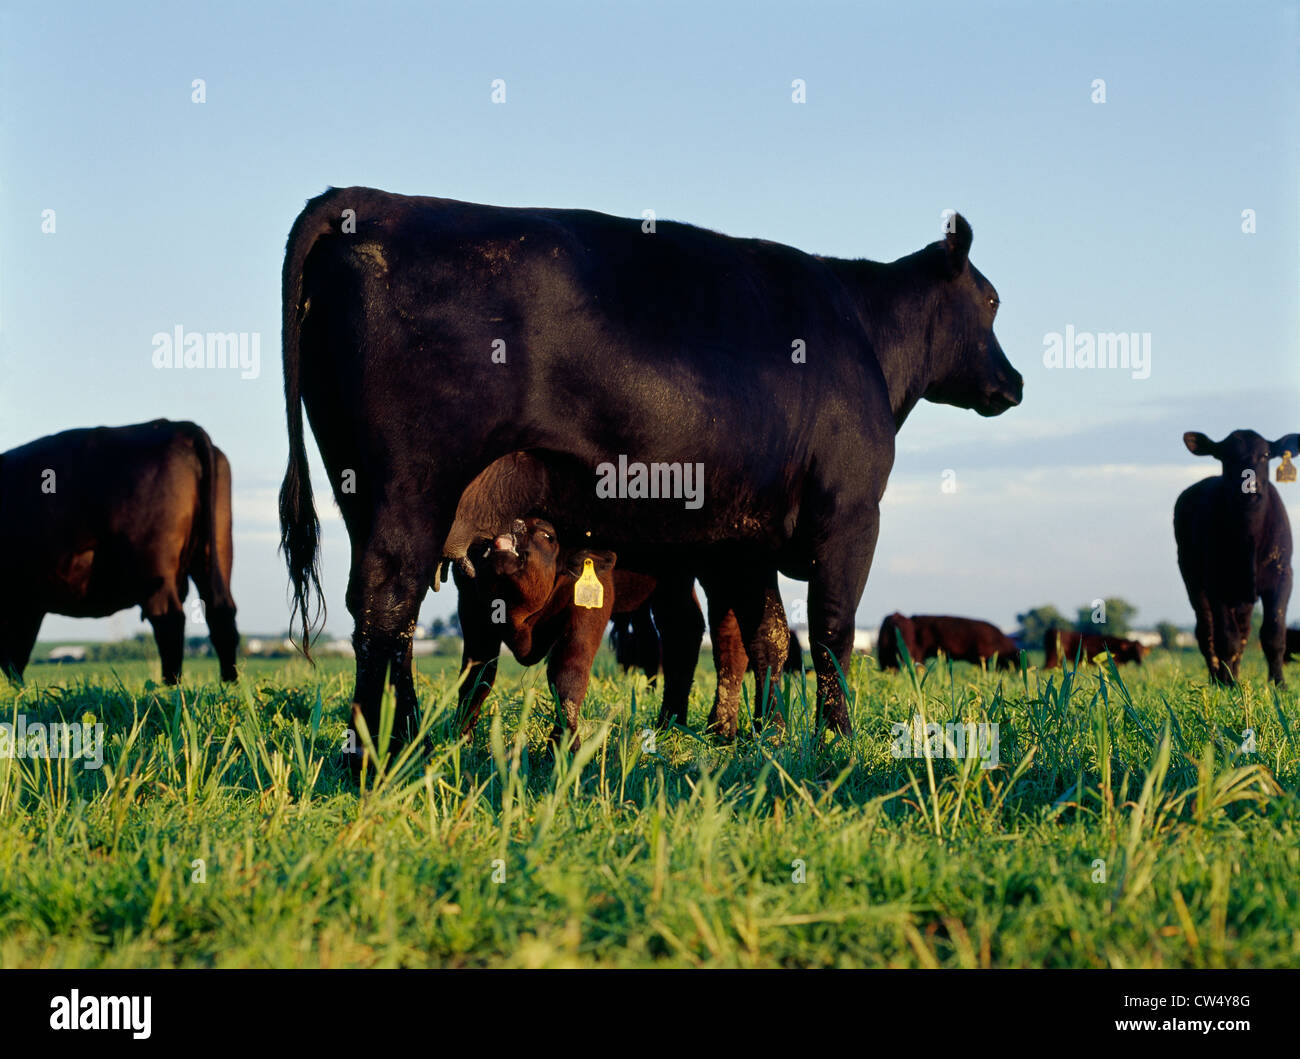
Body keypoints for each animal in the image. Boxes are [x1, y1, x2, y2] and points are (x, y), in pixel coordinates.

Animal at [0, 420, 239, 684]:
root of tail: (177, 427)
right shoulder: (27, 605)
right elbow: (16, 657)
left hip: (154, 568)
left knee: (169, 619)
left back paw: (170, 686)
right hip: (215, 551)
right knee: (221, 613)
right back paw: (229, 683)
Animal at [1174, 429, 1297, 685]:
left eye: (1265, 455)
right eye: (1227, 456)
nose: (1249, 484)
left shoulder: (1282, 577)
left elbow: (1273, 633)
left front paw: (1278, 684)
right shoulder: (1216, 583)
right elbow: (1226, 638)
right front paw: (1228, 684)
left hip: (1243, 597)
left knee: (1243, 632)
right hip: (1193, 580)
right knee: (1207, 632)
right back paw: (1218, 679)